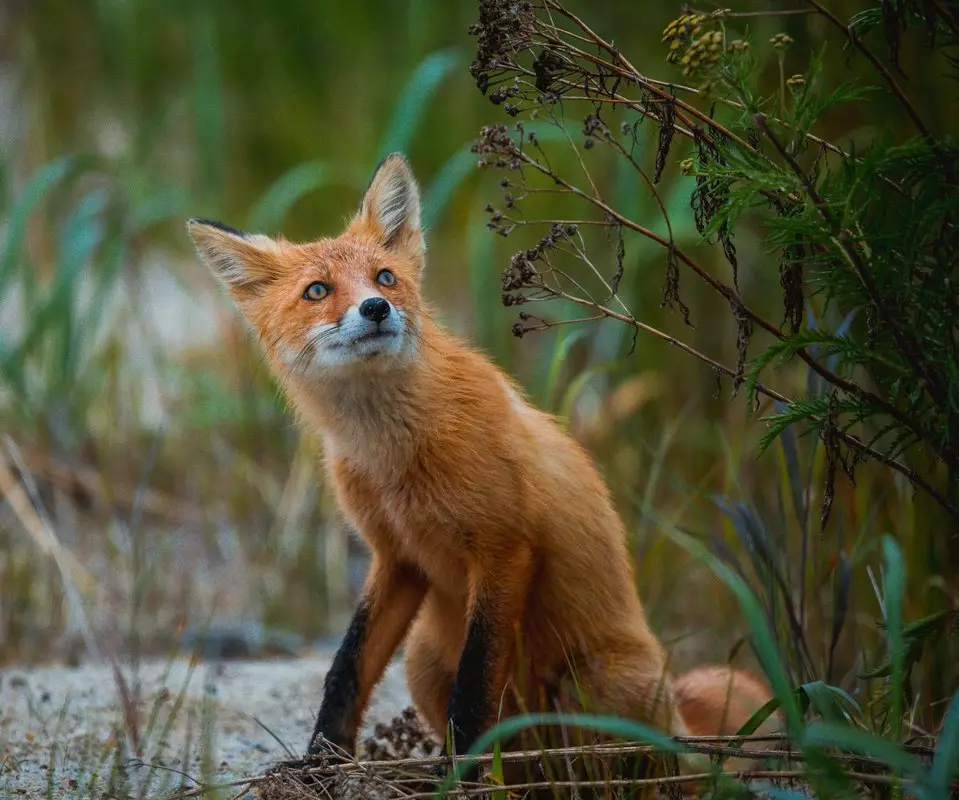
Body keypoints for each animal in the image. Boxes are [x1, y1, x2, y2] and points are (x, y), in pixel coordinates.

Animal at [188, 150, 780, 776]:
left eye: (384, 277)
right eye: (317, 290)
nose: (375, 308)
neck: (394, 456)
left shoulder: (504, 549)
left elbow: (473, 686)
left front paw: (458, 774)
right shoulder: (396, 557)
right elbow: (346, 668)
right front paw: (322, 760)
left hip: (592, 683)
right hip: (422, 660)